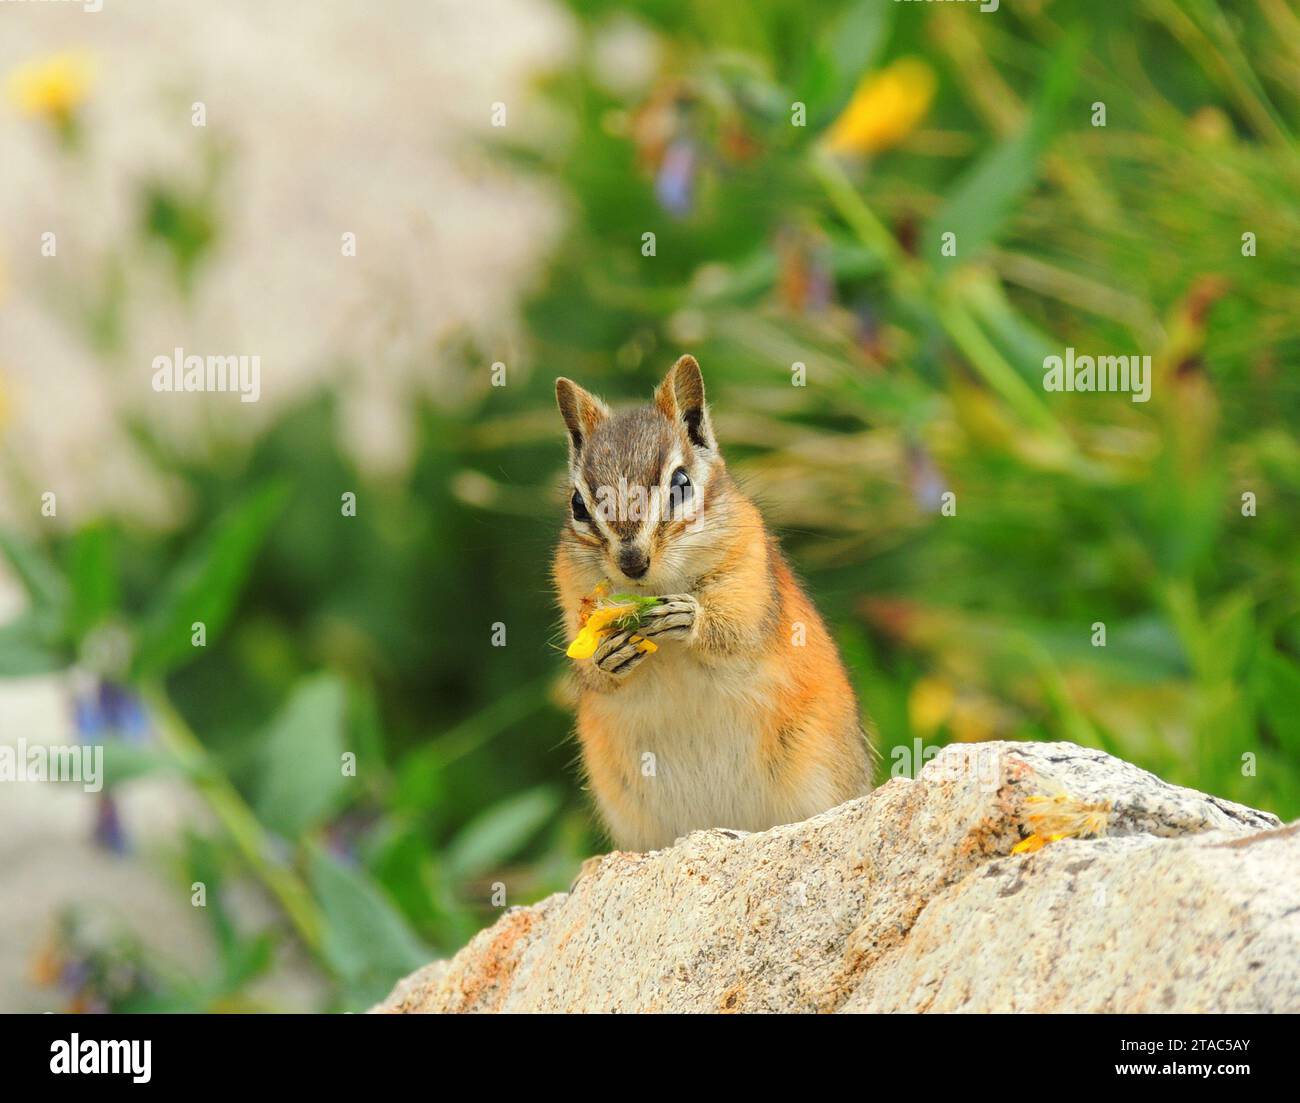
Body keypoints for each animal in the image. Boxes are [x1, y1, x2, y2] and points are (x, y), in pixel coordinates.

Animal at [552, 354, 873, 852]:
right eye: (578, 505)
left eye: (681, 484)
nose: (632, 562)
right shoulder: (571, 594)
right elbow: (591, 671)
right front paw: (608, 655)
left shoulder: (748, 575)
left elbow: (736, 632)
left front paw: (687, 617)